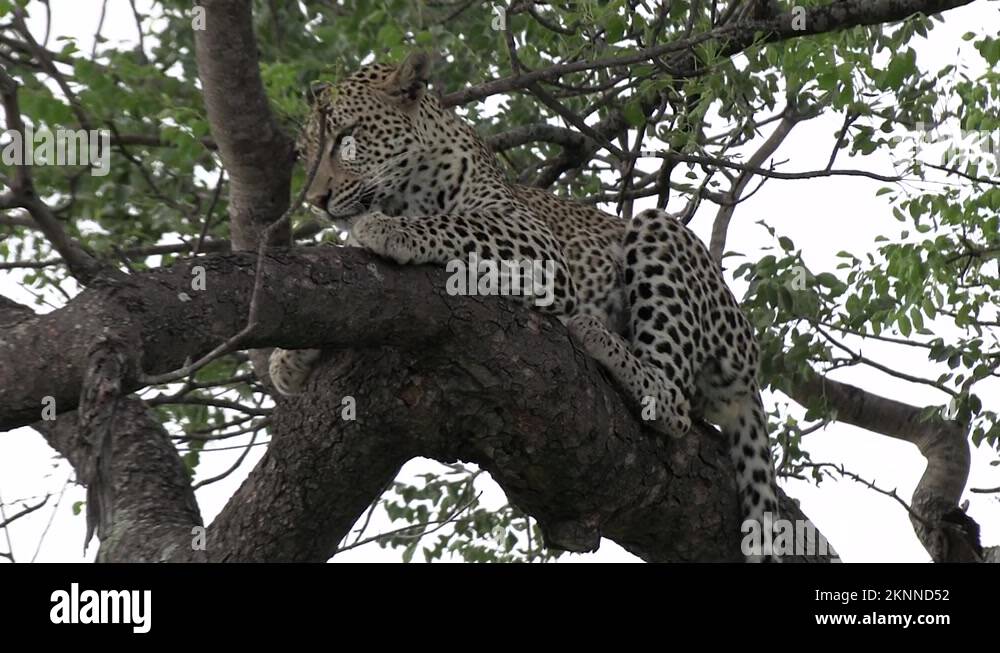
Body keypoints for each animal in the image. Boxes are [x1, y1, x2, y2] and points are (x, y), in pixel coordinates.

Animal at [268, 51, 780, 561]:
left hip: (661, 232)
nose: (316, 201)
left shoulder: (534, 244)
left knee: (674, 404)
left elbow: (454, 225)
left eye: (346, 138)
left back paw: (598, 337)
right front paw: (287, 359)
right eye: (308, 154)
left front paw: (389, 231)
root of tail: (751, 368)